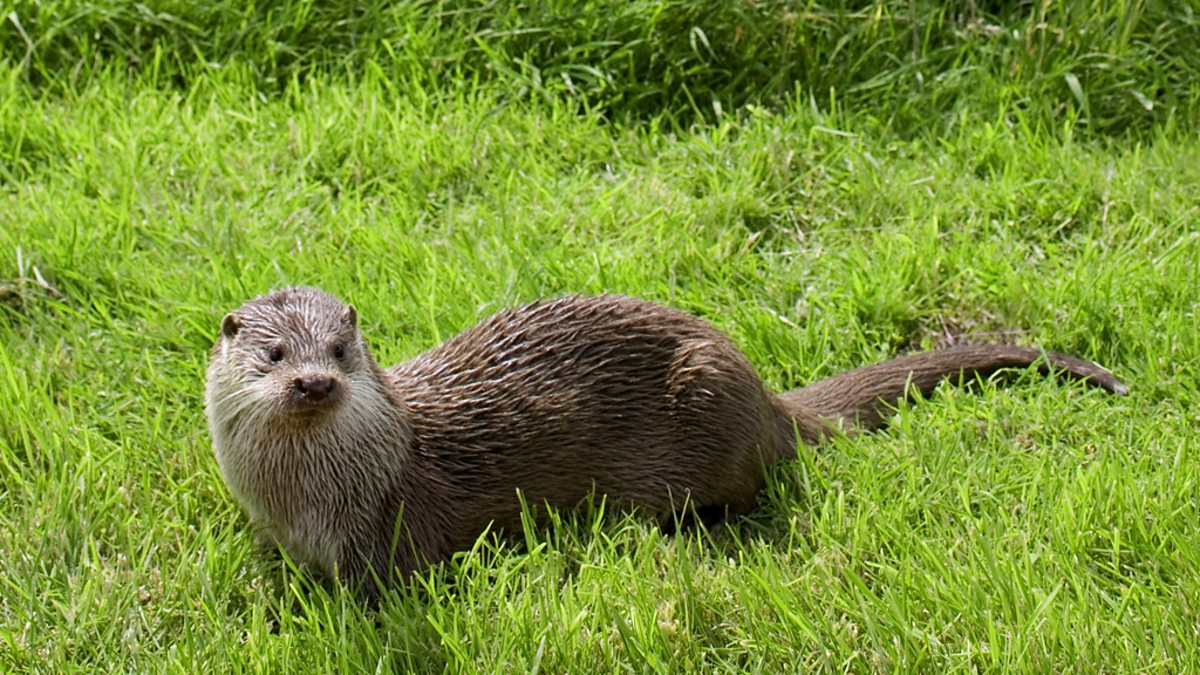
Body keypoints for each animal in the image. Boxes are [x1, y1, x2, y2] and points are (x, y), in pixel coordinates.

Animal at [205, 287, 1125, 587]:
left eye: (340, 349)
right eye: (275, 354)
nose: (314, 381)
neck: (307, 498)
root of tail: (764, 389)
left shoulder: (392, 537)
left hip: (707, 402)